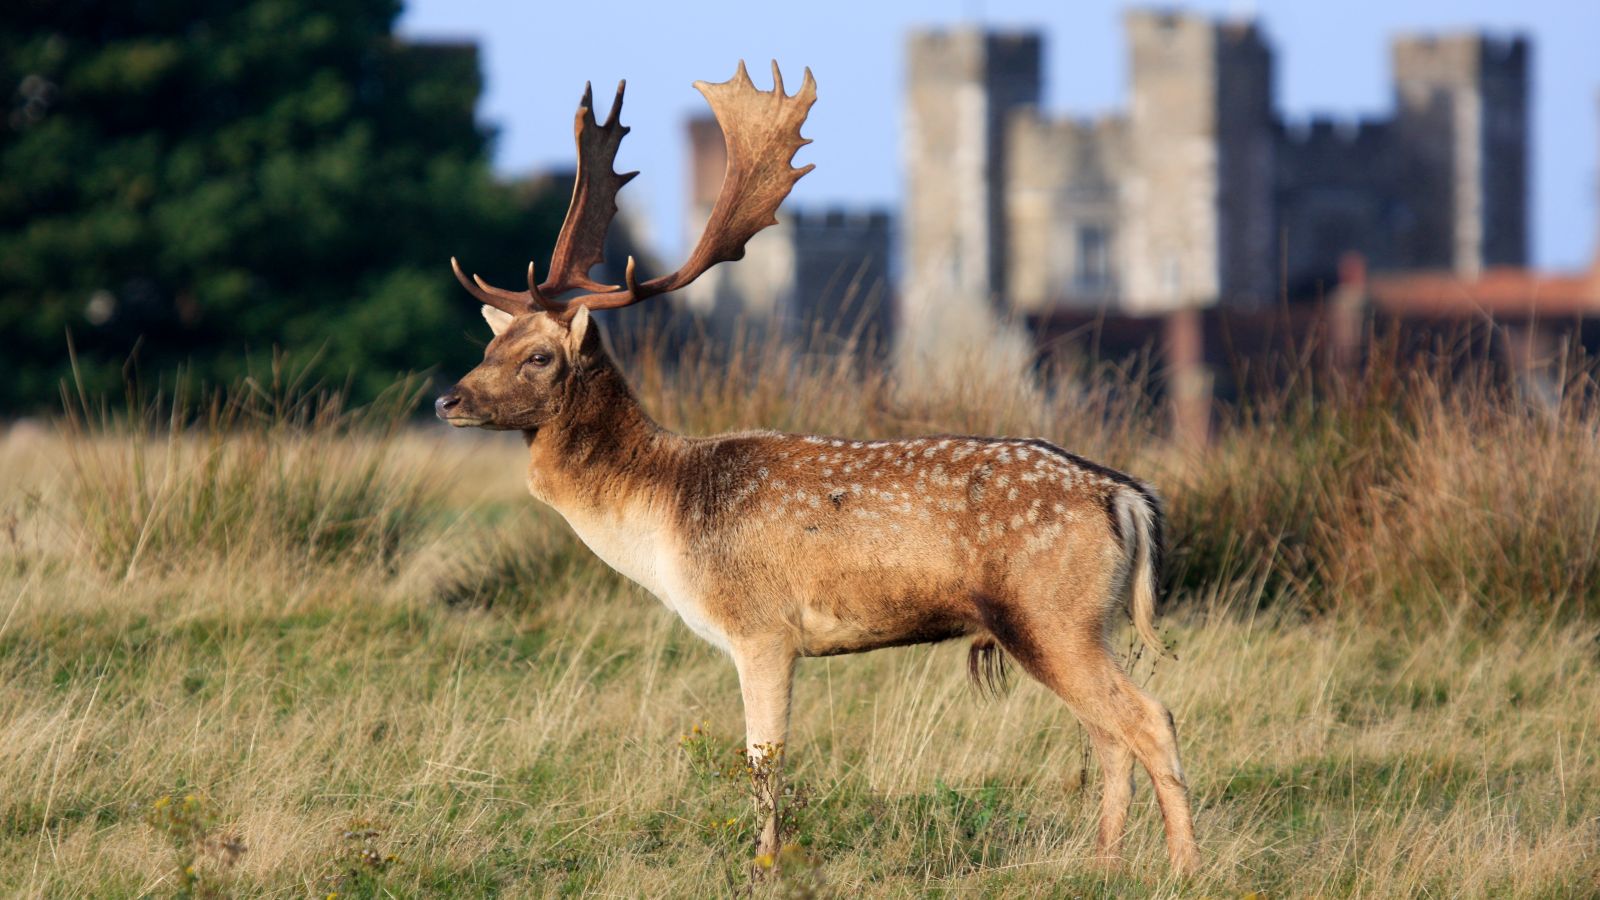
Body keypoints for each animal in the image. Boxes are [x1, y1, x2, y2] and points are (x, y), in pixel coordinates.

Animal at [434, 62, 1199, 874]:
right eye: (490, 345)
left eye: (538, 356)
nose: (448, 399)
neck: (663, 513)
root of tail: (1125, 498)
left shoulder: (761, 627)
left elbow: (763, 758)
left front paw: (764, 864)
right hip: (1075, 623)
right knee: (1108, 736)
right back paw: (1103, 862)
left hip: (1052, 612)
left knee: (1149, 718)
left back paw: (1183, 867)